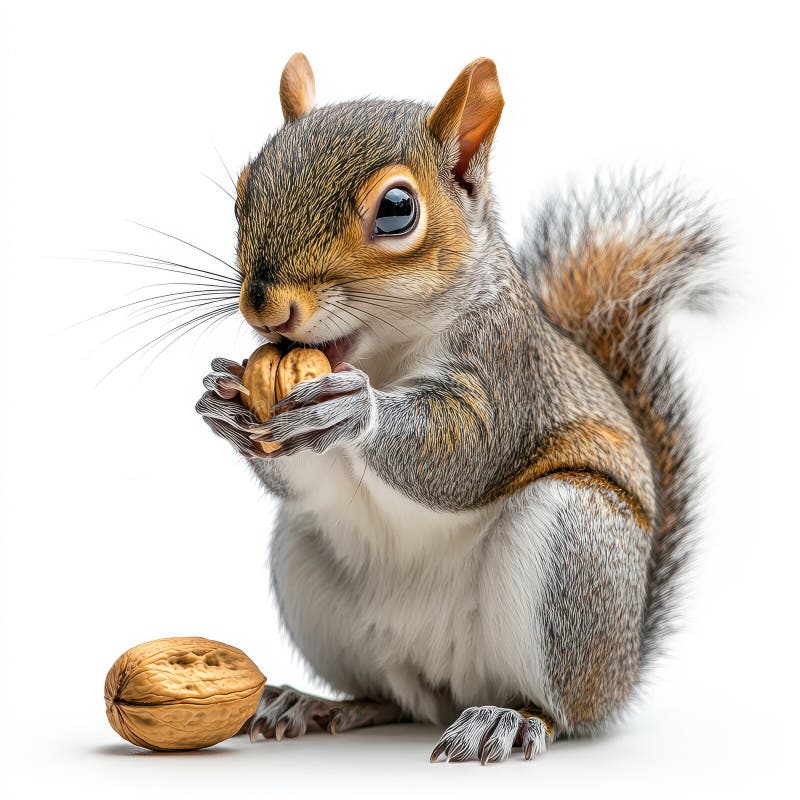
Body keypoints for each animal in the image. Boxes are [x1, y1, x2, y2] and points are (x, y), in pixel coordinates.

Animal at [195, 53, 721, 764]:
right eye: (243, 192)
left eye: (397, 210)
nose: (264, 306)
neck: (383, 354)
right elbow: (302, 472)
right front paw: (225, 402)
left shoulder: (506, 370)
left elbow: (468, 451)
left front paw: (353, 409)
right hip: (306, 564)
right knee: (391, 697)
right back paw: (315, 703)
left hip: (575, 551)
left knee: (562, 709)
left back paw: (511, 720)